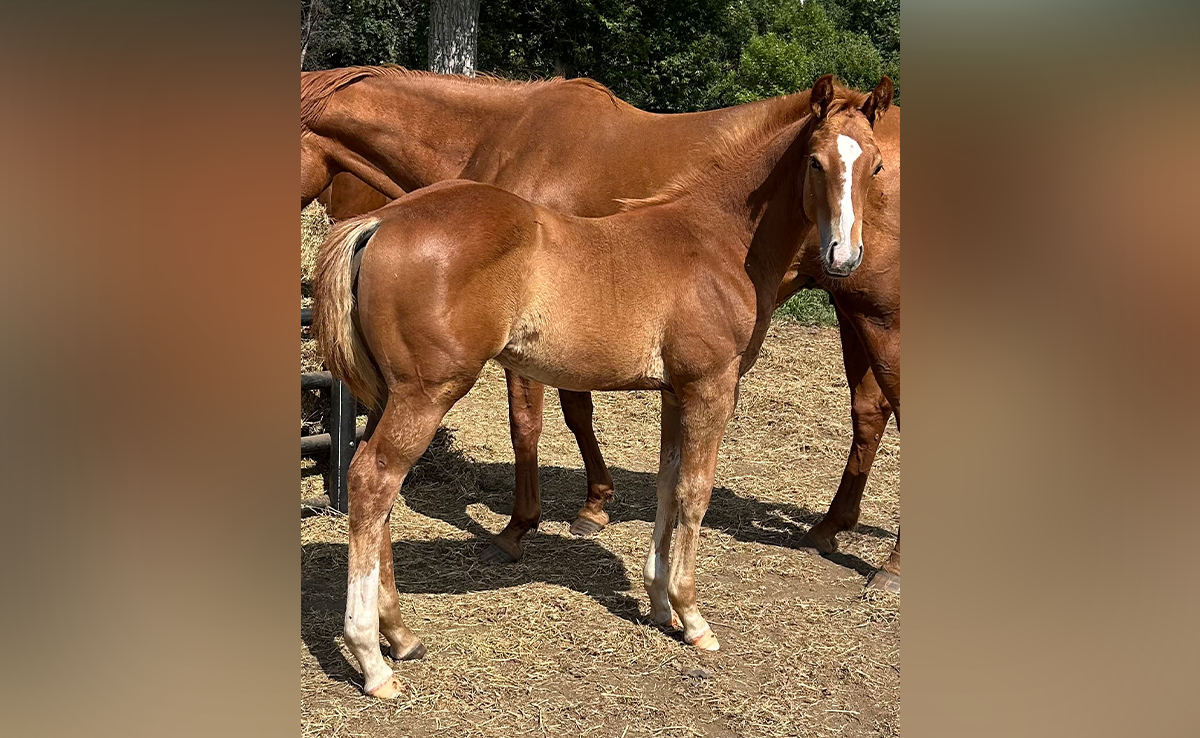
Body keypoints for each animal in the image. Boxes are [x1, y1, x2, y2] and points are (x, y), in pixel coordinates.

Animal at [312, 75, 892, 698]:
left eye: (876, 165)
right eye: (815, 162)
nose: (843, 257)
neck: (716, 238)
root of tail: (380, 222)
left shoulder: (674, 391)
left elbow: (667, 486)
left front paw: (659, 604)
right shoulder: (711, 386)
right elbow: (696, 493)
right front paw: (693, 617)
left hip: (394, 394)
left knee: (379, 491)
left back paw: (401, 636)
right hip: (427, 392)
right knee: (373, 481)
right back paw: (373, 661)